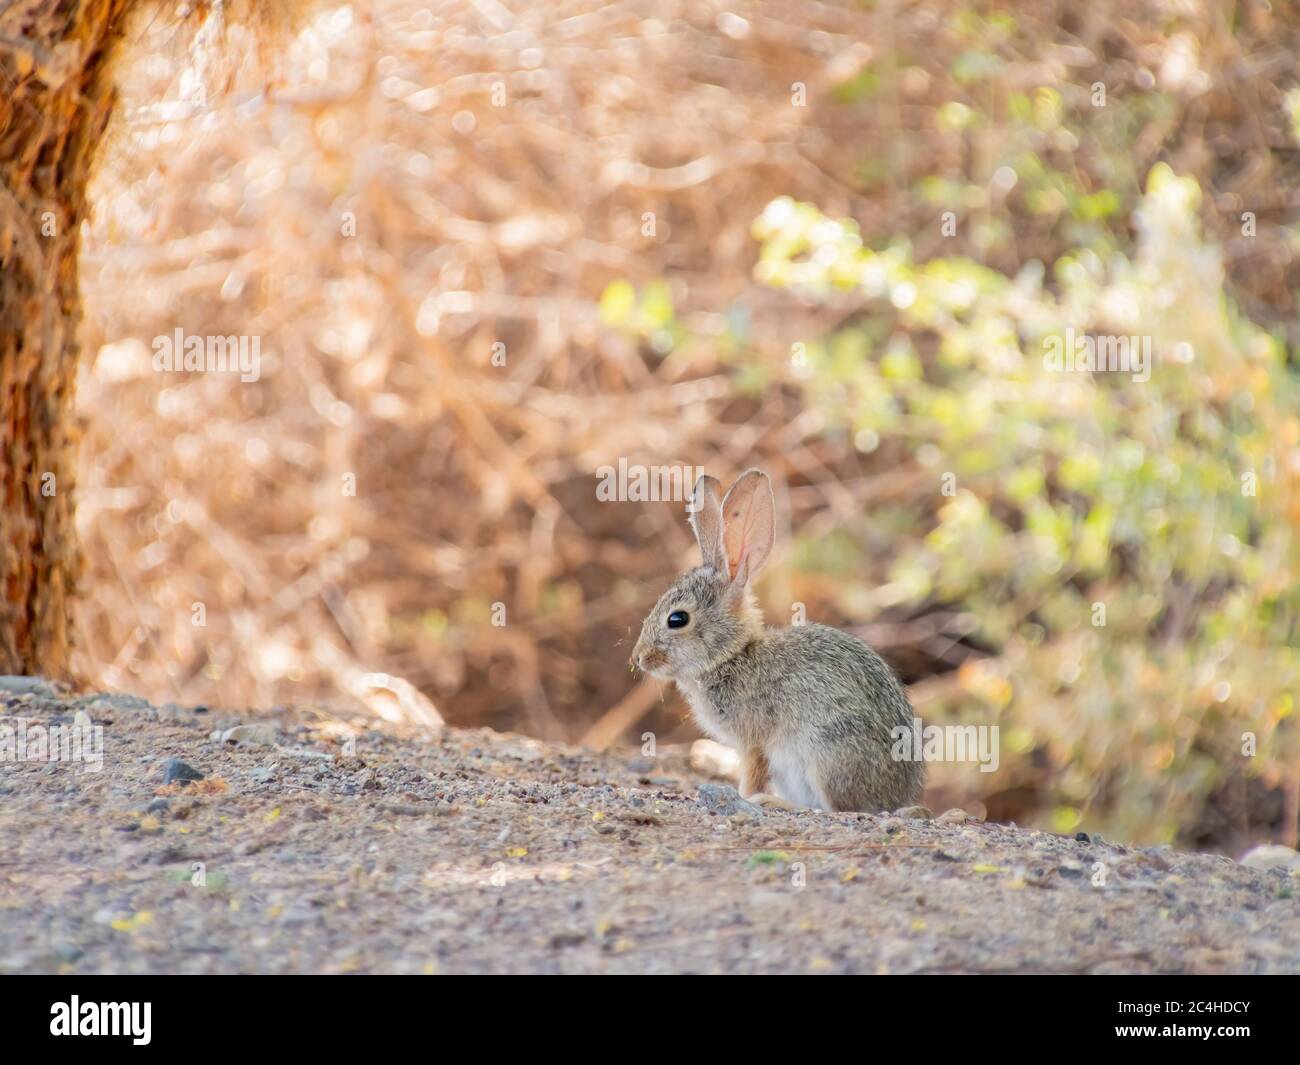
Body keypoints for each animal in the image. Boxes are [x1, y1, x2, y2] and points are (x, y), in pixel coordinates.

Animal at [630, 469, 922, 813]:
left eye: (677, 619)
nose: (639, 657)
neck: (731, 655)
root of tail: (894, 797)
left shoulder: (753, 742)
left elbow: (752, 774)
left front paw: (745, 798)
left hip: (826, 754)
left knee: (835, 809)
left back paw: (774, 802)